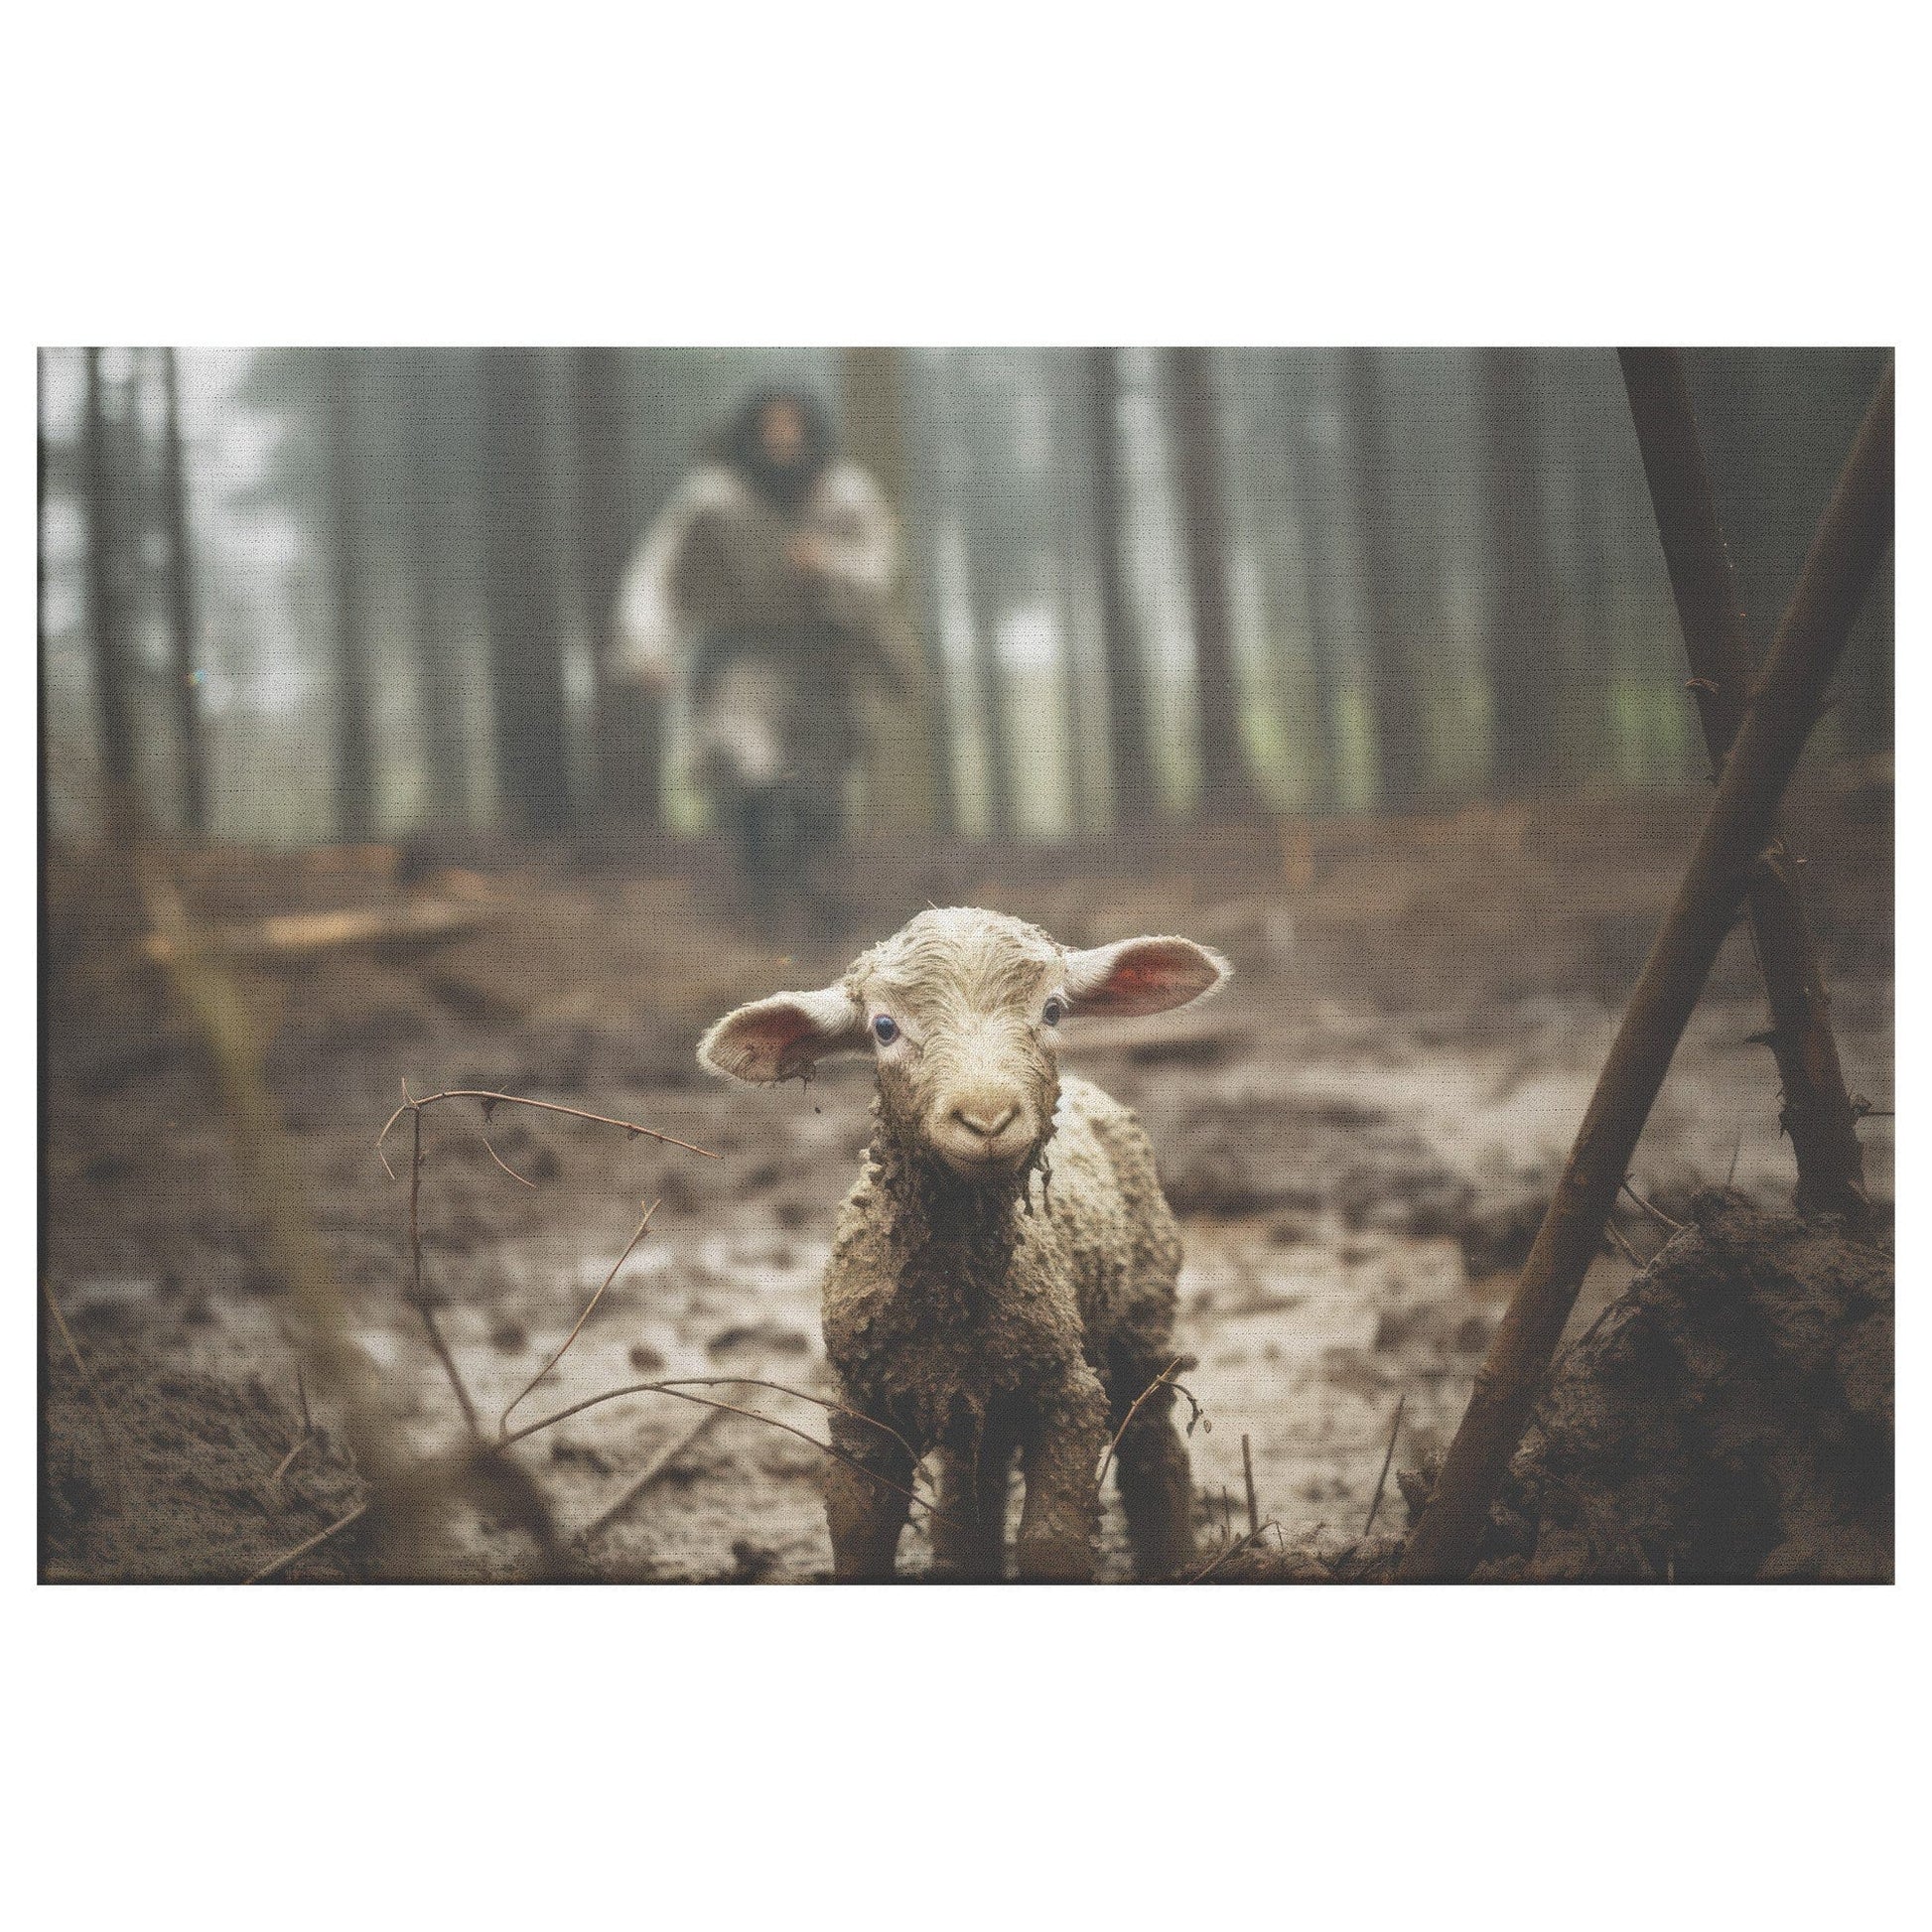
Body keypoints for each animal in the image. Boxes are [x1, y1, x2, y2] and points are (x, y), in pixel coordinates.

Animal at [698, 907, 1229, 1581]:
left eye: (1053, 1010)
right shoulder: (864, 1409)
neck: (953, 1293)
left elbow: (1052, 1546)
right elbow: (858, 1534)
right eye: (884, 1028)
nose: (987, 1118)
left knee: (1152, 1440)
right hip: (979, 1398)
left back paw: (1174, 1559)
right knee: (973, 1483)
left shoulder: (1068, 1393)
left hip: (1142, 1312)